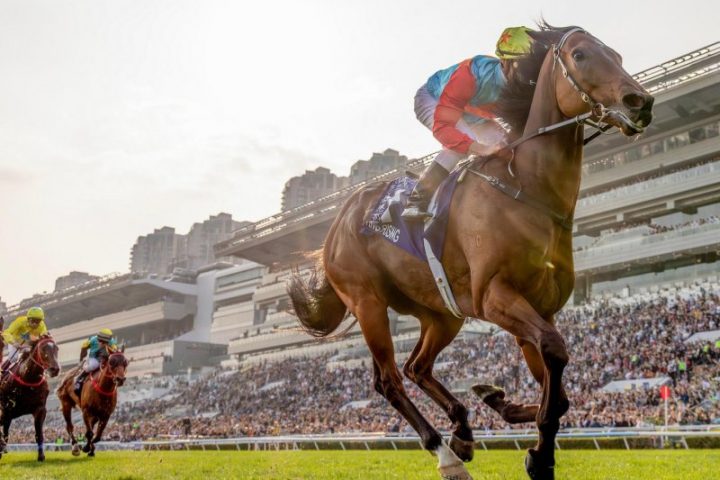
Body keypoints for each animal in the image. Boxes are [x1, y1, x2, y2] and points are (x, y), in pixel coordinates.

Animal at [288, 23, 653, 480]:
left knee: (416, 367)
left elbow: (559, 391)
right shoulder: (494, 296)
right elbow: (555, 353)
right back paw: (445, 453)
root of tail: (335, 226)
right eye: (581, 55)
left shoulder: (538, 309)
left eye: (617, 56)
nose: (640, 102)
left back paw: (462, 428)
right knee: (390, 380)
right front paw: (540, 454)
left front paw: (507, 410)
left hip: (441, 313)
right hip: (368, 302)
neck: (526, 189)